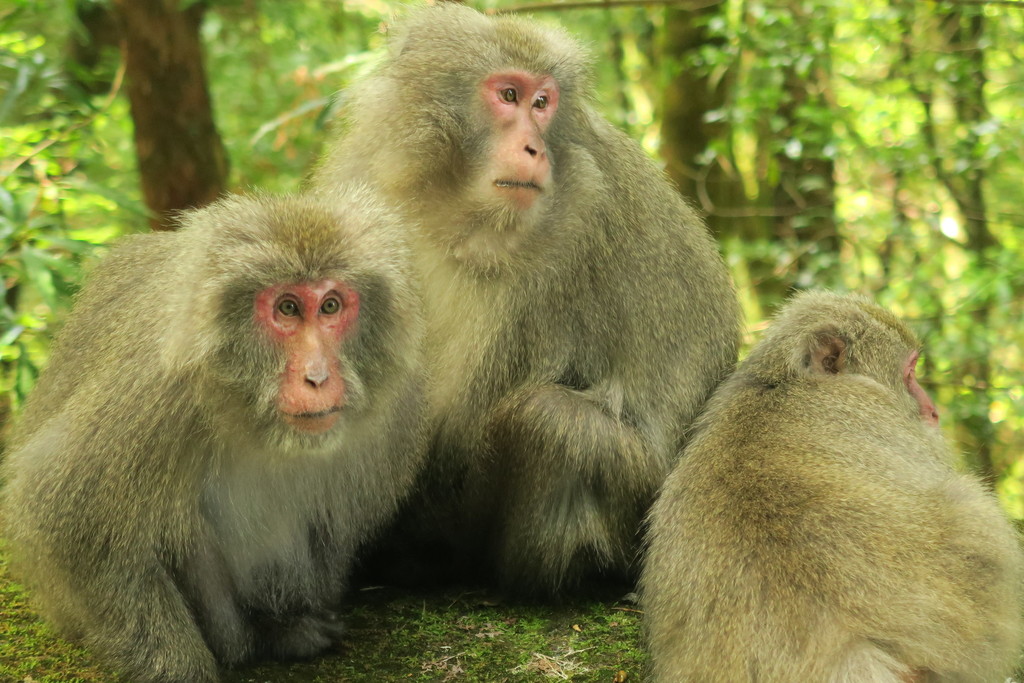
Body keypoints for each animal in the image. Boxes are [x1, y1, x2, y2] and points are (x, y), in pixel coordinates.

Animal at [1, 186, 426, 683]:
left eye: (331, 306)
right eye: (287, 308)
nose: (318, 377)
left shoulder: (398, 406)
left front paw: (290, 622)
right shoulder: (156, 391)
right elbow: (69, 515)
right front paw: (176, 668)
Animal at [311, 3, 741, 597]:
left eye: (543, 103)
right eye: (509, 95)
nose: (534, 146)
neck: (457, 219)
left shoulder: (581, 222)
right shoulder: (366, 184)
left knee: (556, 423)